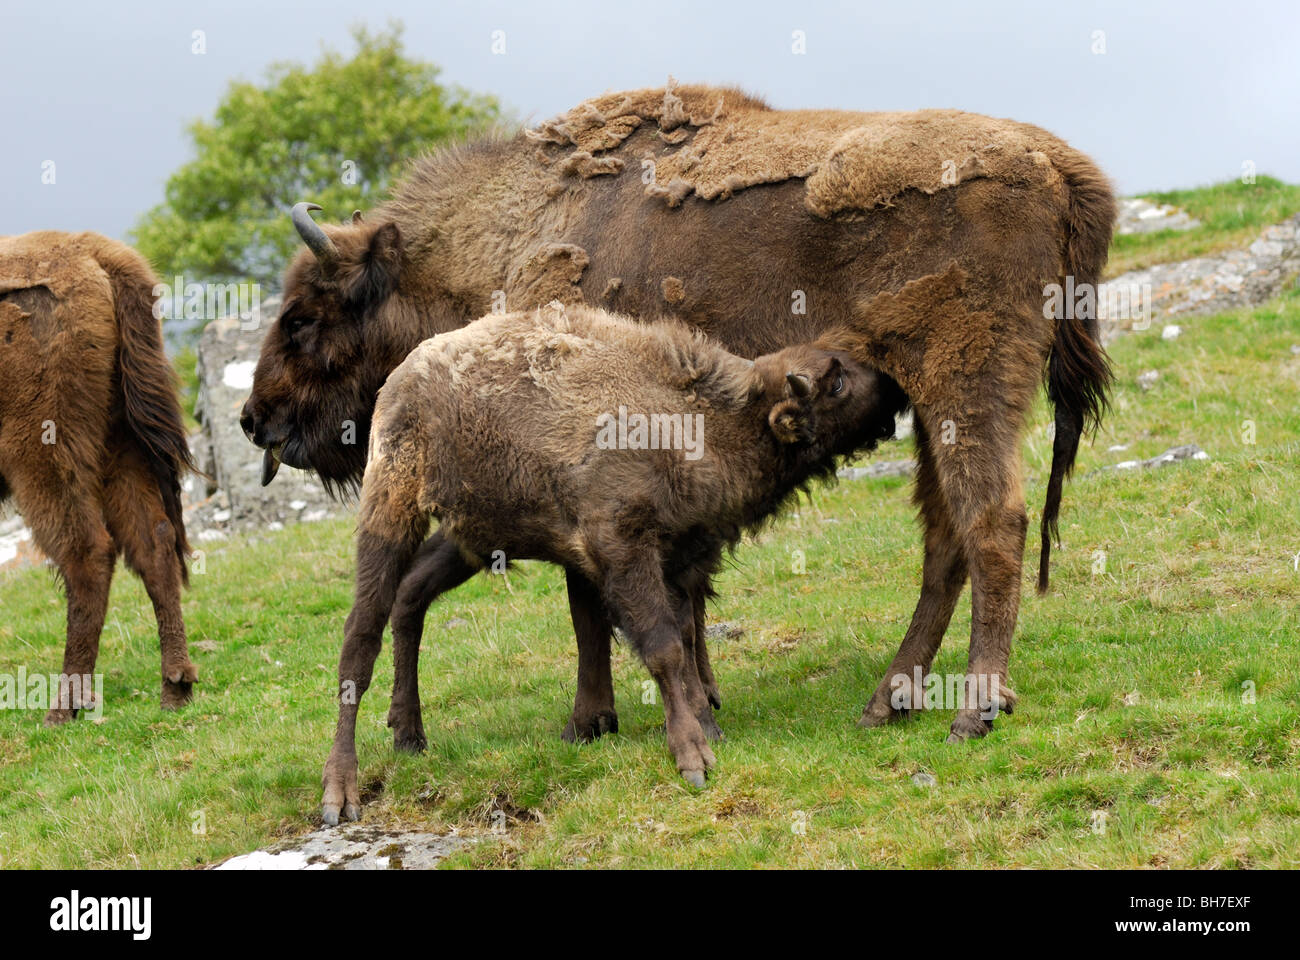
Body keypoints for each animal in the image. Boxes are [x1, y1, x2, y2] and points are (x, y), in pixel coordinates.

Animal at [0, 231, 198, 722]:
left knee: (87, 553)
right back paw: (175, 687)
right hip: (119, 444)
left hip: (41, 455)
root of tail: (94, 252)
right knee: (154, 540)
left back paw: (61, 708)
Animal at [241, 82, 1114, 753]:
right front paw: (702, 698)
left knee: (991, 521)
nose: (255, 419)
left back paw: (975, 710)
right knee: (945, 539)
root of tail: (1055, 162)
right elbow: (677, 592)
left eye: (305, 315)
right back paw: (886, 702)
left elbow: (587, 604)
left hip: (964, 384)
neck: (511, 232)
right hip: (933, 405)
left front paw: (591, 719)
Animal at [320, 302, 905, 819]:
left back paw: (410, 735)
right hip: (390, 509)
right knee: (359, 640)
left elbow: (686, 641)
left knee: (410, 597)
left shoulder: (679, 560)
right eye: (836, 384)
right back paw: (339, 794)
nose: (896, 386)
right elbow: (664, 649)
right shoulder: (625, 551)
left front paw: (707, 729)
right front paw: (693, 759)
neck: (696, 418)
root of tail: (400, 377)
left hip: (469, 538)